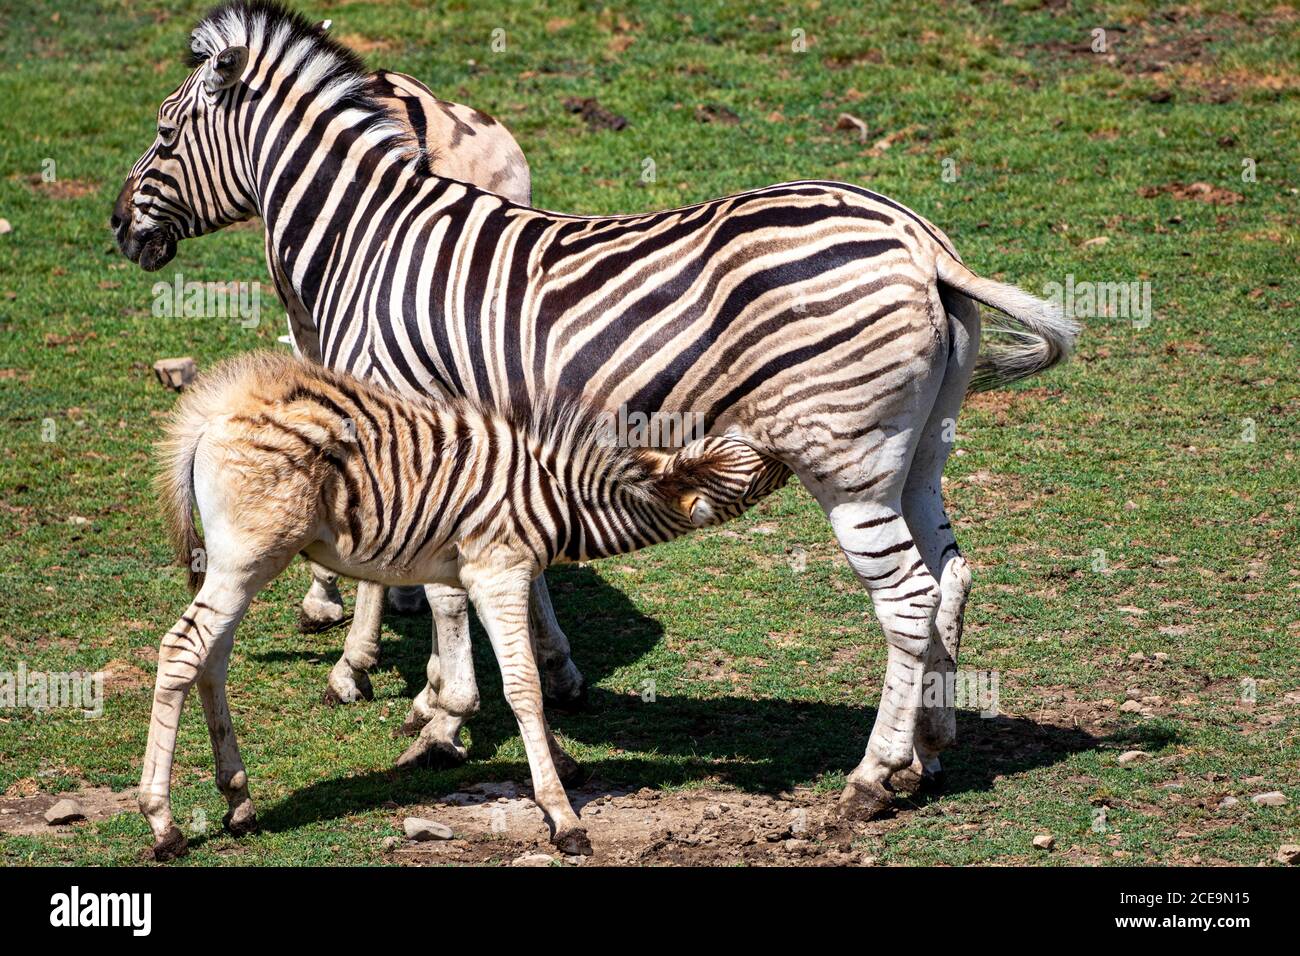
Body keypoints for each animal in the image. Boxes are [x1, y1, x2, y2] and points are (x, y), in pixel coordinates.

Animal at [142, 350, 791, 859]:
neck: (561, 499)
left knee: (212, 657)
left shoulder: (487, 574)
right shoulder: (496, 573)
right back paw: (164, 823)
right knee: (181, 650)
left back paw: (239, 801)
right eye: (751, 461)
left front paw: (557, 762)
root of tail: (214, 409)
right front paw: (563, 816)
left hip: (238, 562)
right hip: (250, 555)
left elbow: (516, 670)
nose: (789, 432)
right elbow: (523, 687)